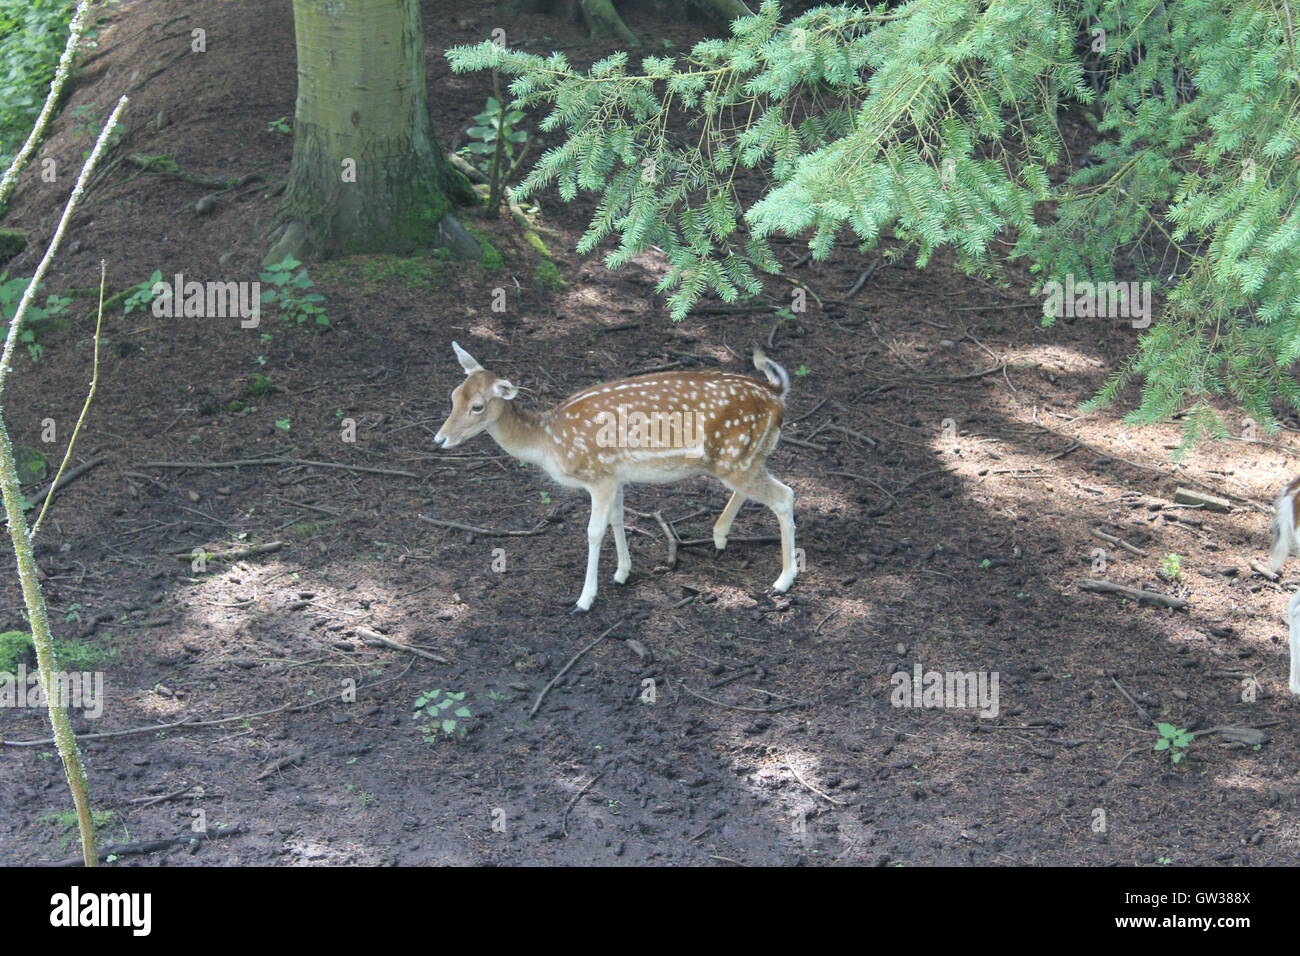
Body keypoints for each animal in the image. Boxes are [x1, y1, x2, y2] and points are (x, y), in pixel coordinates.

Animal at [434, 341, 797, 612]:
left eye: (478, 406)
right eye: (452, 396)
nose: (439, 439)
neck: (549, 441)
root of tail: (776, 393)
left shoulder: (599, 475)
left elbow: (594, 531)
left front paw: (584, 600)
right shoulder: (617, 476)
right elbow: (618, 519)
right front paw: (622, 572)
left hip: (737, 455)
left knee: (785, 496)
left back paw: (782, 580)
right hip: (743, 456)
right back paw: (720, 537)